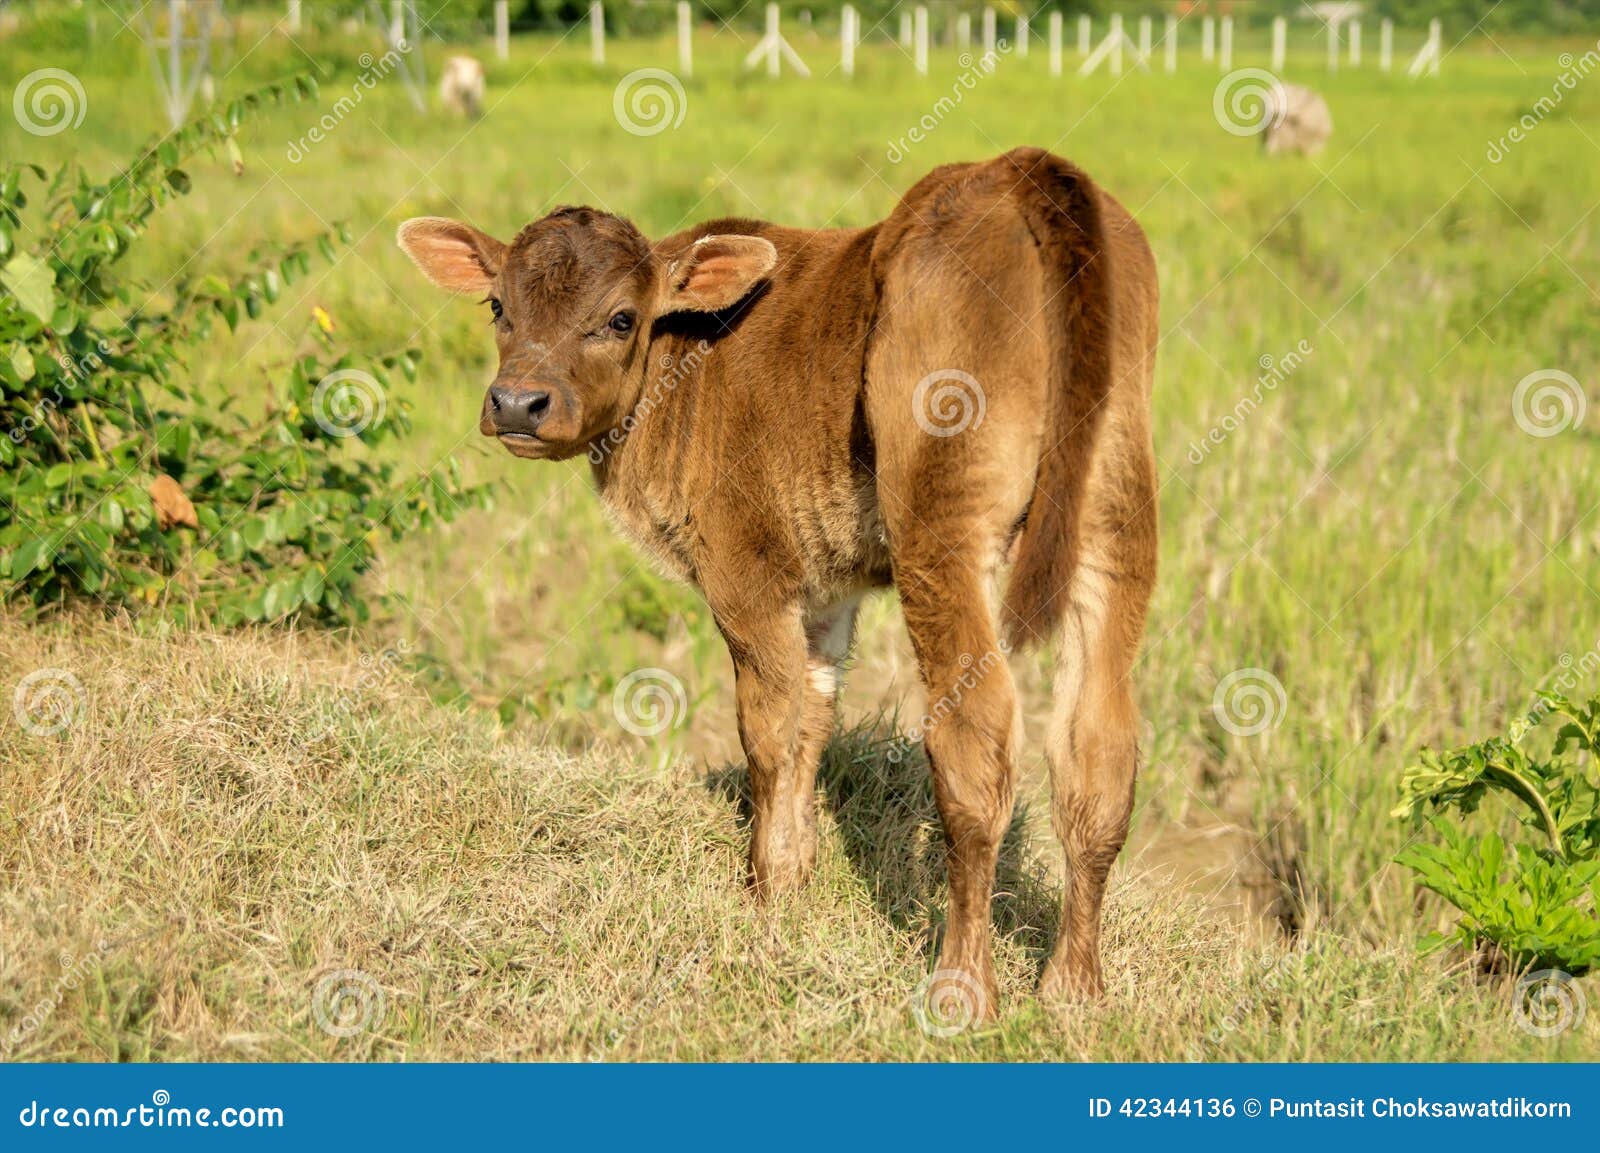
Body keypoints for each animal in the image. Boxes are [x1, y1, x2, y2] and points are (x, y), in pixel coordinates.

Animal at [396, 148, 1159, 1015]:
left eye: (622, 317)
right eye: (497, 303)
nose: (519, 402)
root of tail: (1009, 170)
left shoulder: (745, 569)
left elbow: (765, 730)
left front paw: (762, 898)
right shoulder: (824, 587)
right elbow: (811, 719)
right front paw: (794, 883)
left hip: (944, 517)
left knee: (977, 742)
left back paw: (962, 988)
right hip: (1117, 517)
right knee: (1098, 747)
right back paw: (1075, 989)